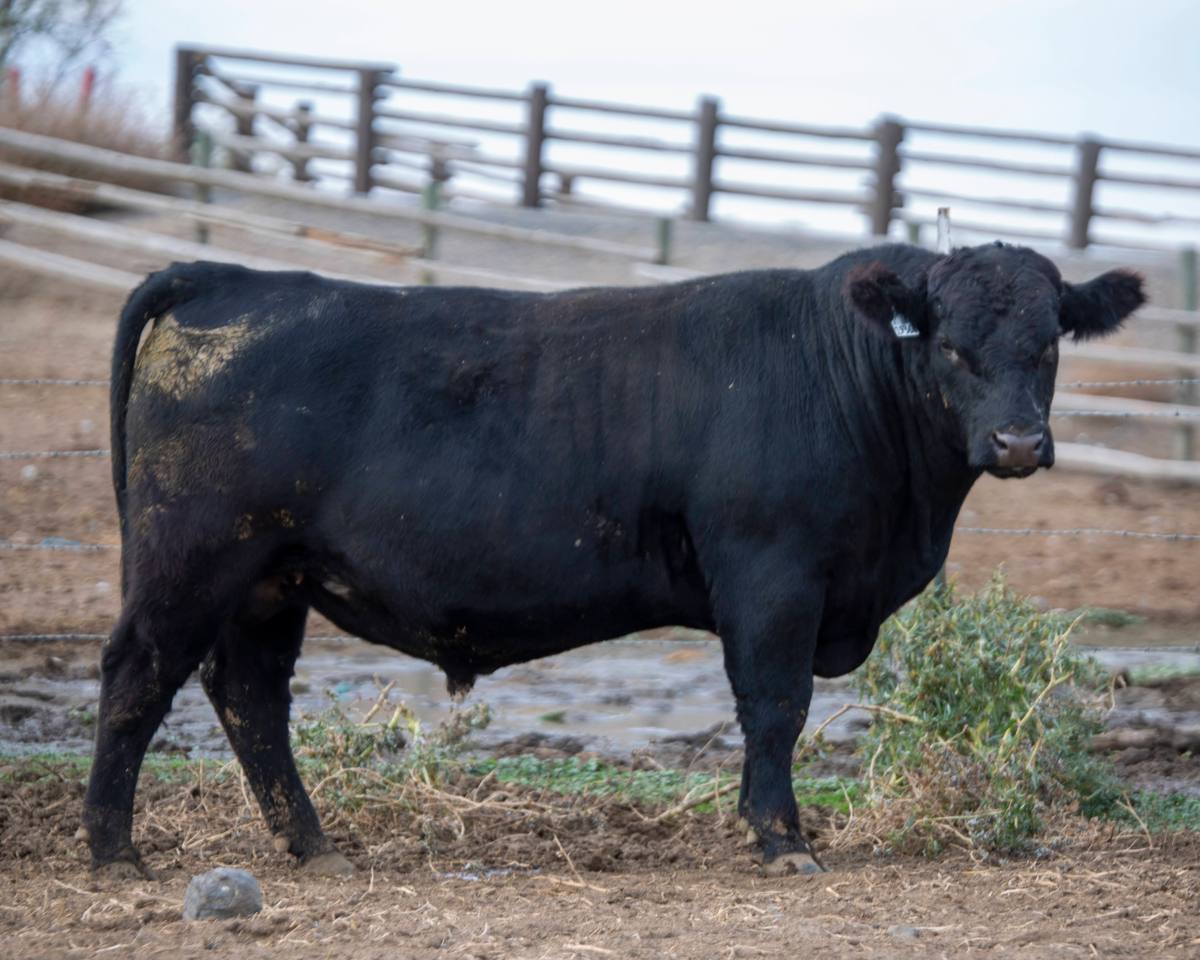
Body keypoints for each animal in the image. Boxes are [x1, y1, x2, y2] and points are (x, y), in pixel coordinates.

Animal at [80, 241, 1144, 879]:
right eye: (953, 347)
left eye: (1050, 343)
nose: (1017, 442)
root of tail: (227, 274)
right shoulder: (772, 576)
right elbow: (776, 706)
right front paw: (782, 840)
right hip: (194, 558)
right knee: (139, 675)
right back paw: (114, 851)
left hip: (272, 579)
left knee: (249, 695)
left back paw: (312, 846)